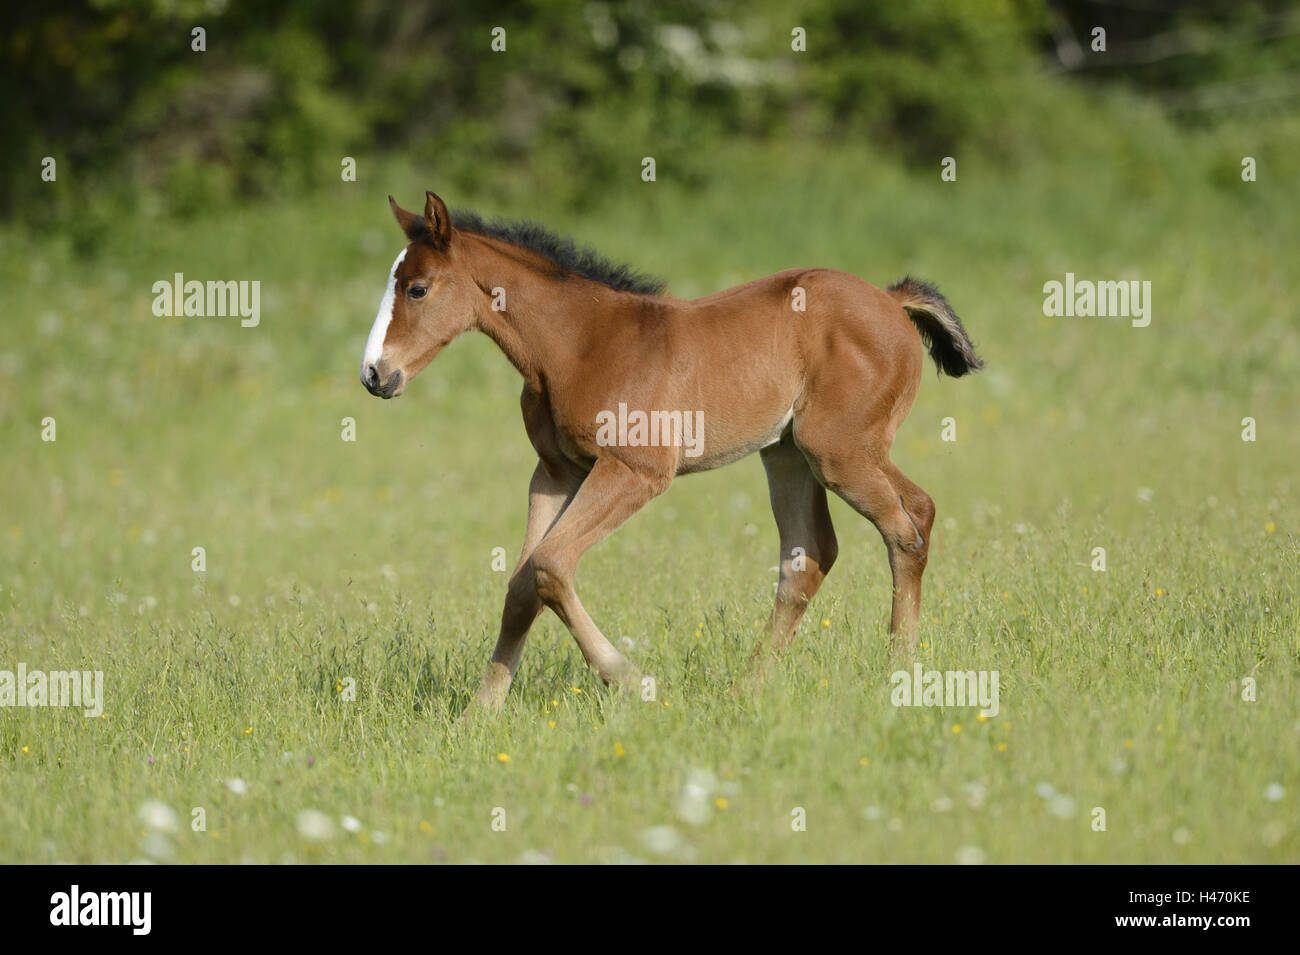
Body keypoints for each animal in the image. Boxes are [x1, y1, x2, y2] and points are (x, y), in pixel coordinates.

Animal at [361, 192, 983, 712]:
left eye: (417, 289)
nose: (374, 375)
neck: (574, 345)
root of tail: (892, 301)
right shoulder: (556, 473)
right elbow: (521, 586)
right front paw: (479, 715)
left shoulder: (635, 470)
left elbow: (549, 566)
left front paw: (630, 680)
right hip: (791, 453)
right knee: (821, 550)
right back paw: (747, 689)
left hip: (838, 451)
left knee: (904, 529)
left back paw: (899, 671)